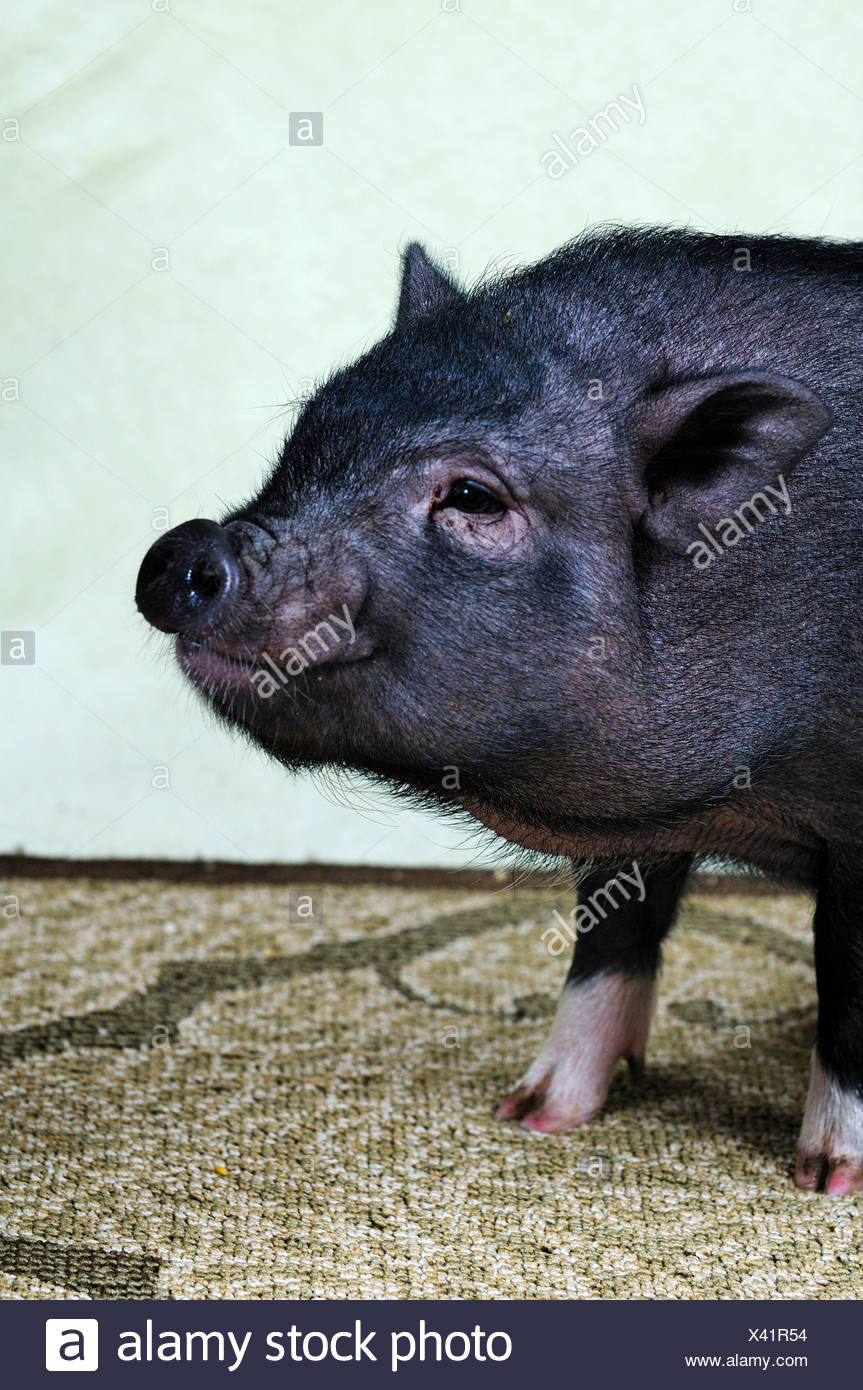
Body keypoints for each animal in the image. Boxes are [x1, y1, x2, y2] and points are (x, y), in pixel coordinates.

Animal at [135, 227, 863, 1194]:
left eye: (472, 497)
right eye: (304, 441)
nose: (184, 548)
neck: (745, 803)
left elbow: (846, 979)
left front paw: (824, 1182)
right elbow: (611, 930)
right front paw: (530, 1115)